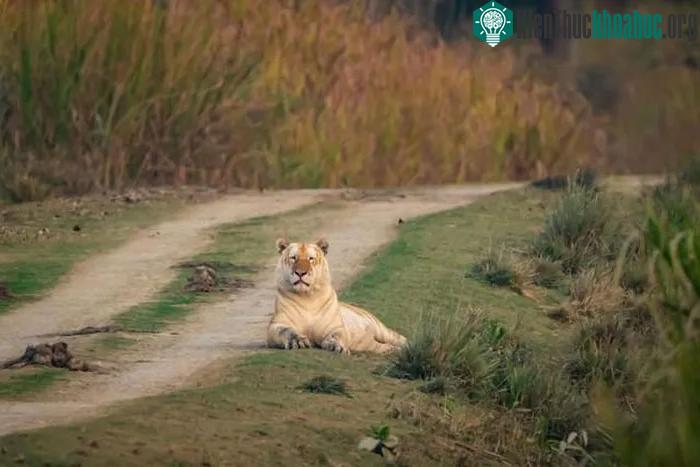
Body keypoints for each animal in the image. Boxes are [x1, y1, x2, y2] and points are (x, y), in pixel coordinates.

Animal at [266, 239, 408, 352]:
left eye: (311, 259)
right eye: (293, 258)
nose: (300, 272)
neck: (307, 298)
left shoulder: (337, 327)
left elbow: (336, 336)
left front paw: (335, 346)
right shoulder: (276, 325)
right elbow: (287, 331)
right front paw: (297, 341)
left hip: (380, 329)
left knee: (399, 337)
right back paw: (394, 350)